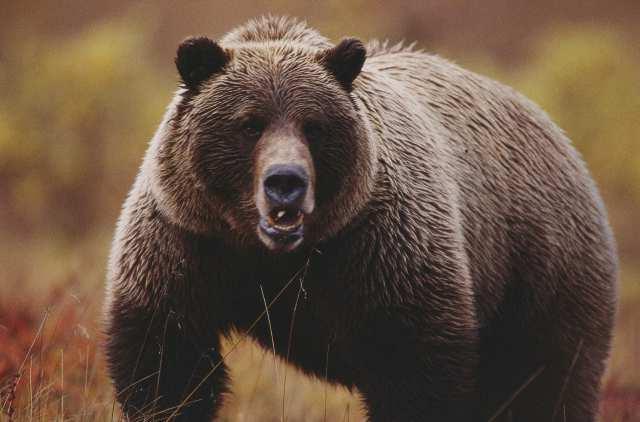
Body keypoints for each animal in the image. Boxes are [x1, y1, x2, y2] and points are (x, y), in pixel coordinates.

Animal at [102, 14, 616, 422]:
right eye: (249, 124)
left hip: (539, 268)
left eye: (313, 126)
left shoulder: (381, 247)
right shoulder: (188, 242)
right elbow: (169, 366)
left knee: (545, 380)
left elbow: (414, 371)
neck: (276, 256)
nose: (285, 181)